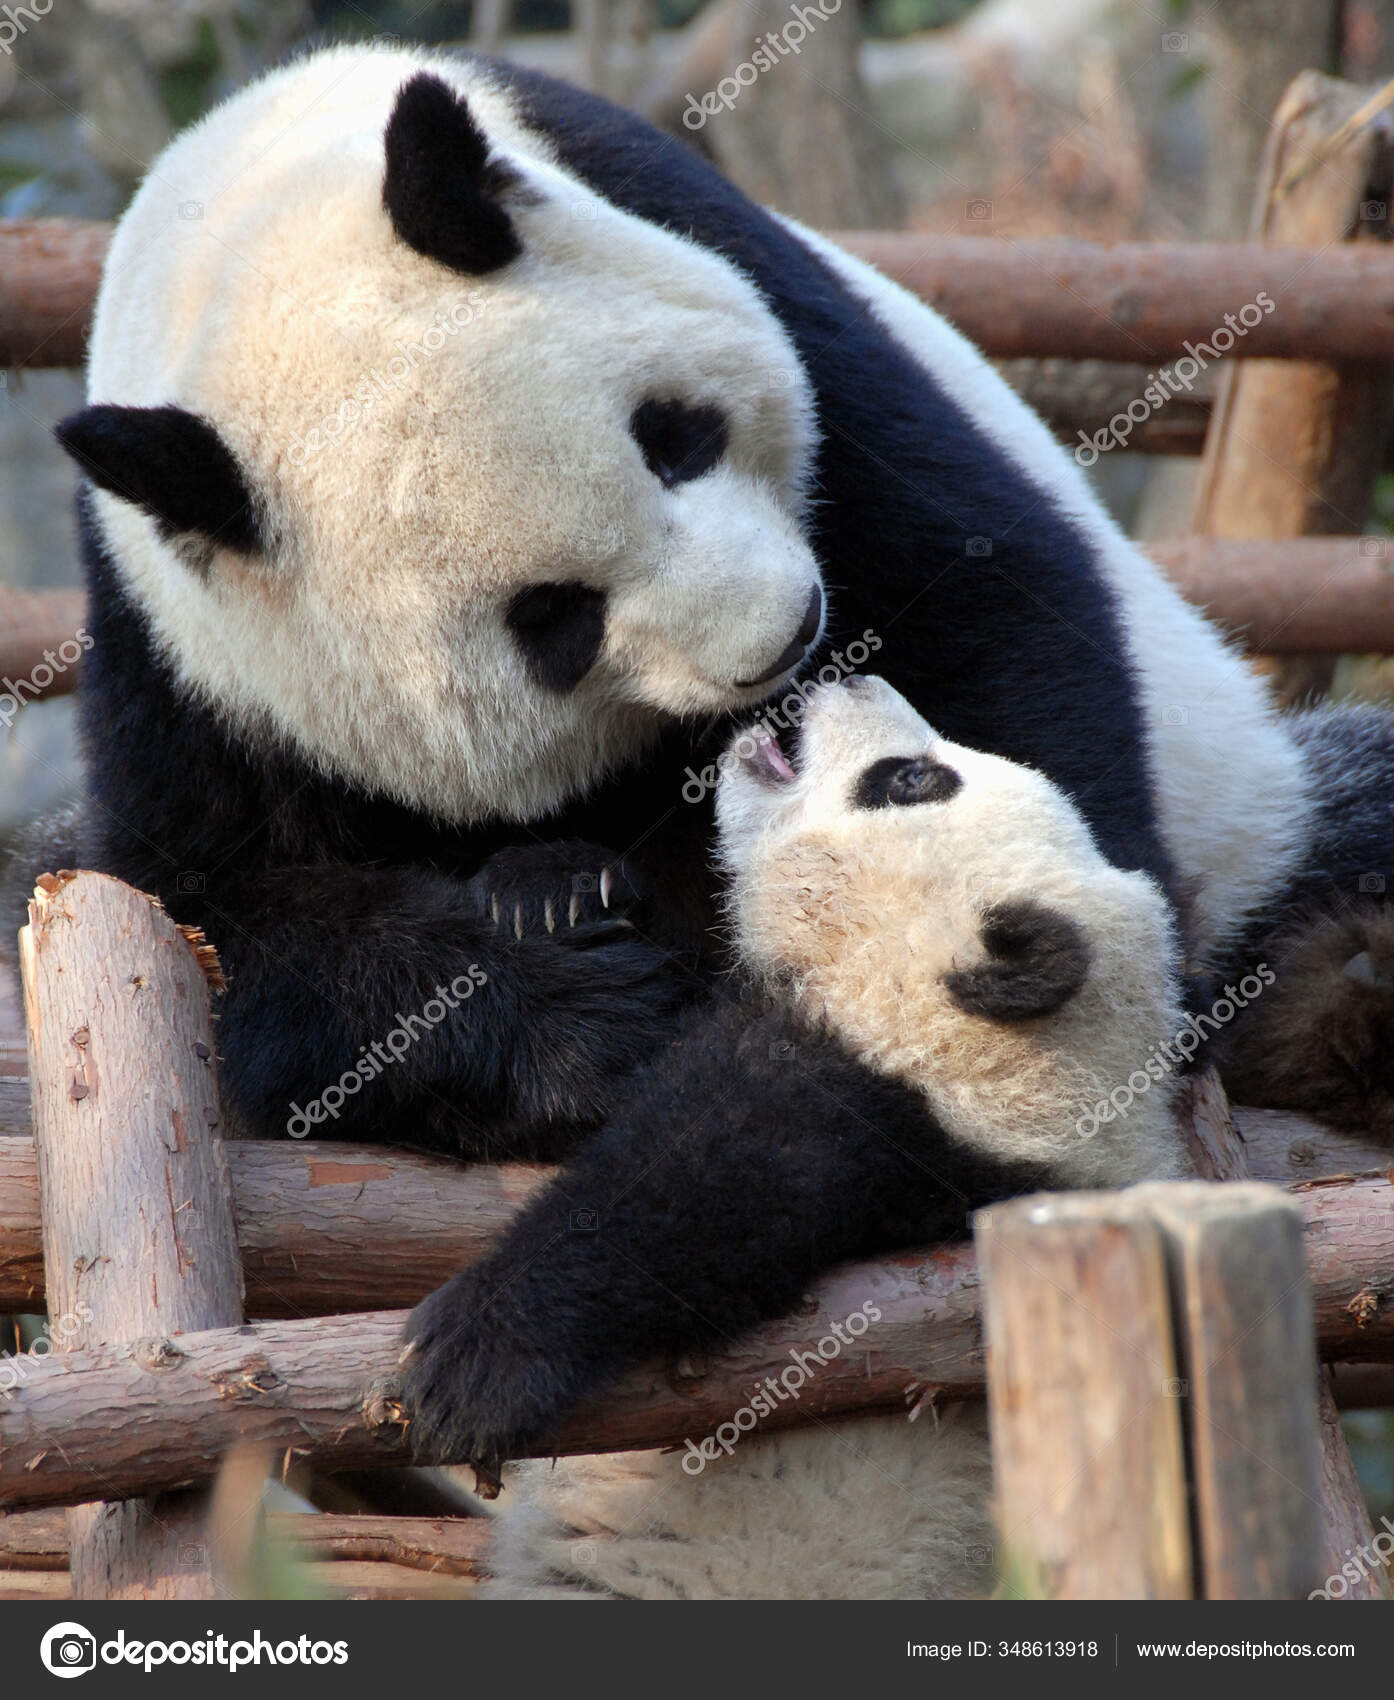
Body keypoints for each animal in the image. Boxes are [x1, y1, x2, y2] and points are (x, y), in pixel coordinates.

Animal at [18, 40, 1391, 1470]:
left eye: (674, 433)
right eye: (550, 617)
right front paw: (581, 996)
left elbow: (999, 628)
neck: (242, 217)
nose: (783, 637)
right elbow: (211, 916)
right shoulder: (188, 651)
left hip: (1263, 817)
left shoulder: (764, 293)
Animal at [481, 675, 1187, 1599]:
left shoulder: (890, 1141)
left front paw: (474, 1356)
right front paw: (558, 889)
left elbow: (695, 1213)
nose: (852, 677)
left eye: (912, 781)